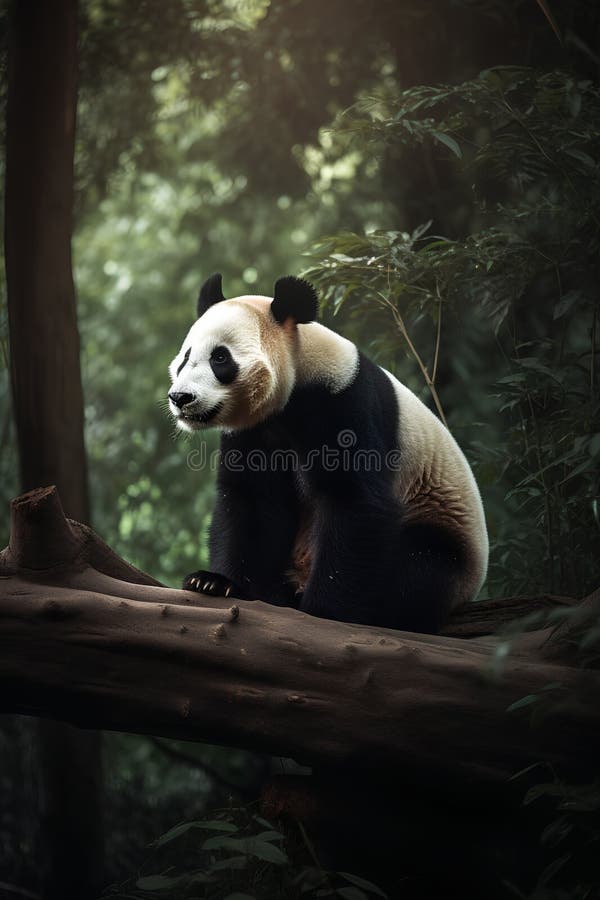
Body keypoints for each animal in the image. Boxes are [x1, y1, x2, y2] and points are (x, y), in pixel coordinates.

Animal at [167, 273, 488, 634]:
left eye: (220, 358)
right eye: (185, 357)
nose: (180, 398)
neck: (300, 377)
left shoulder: (345, 403)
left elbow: (353, 501)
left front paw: (324, 611)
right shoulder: (255, 430)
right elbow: (250, 502)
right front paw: (214, 582)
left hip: (445, 529)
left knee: (420, 568)